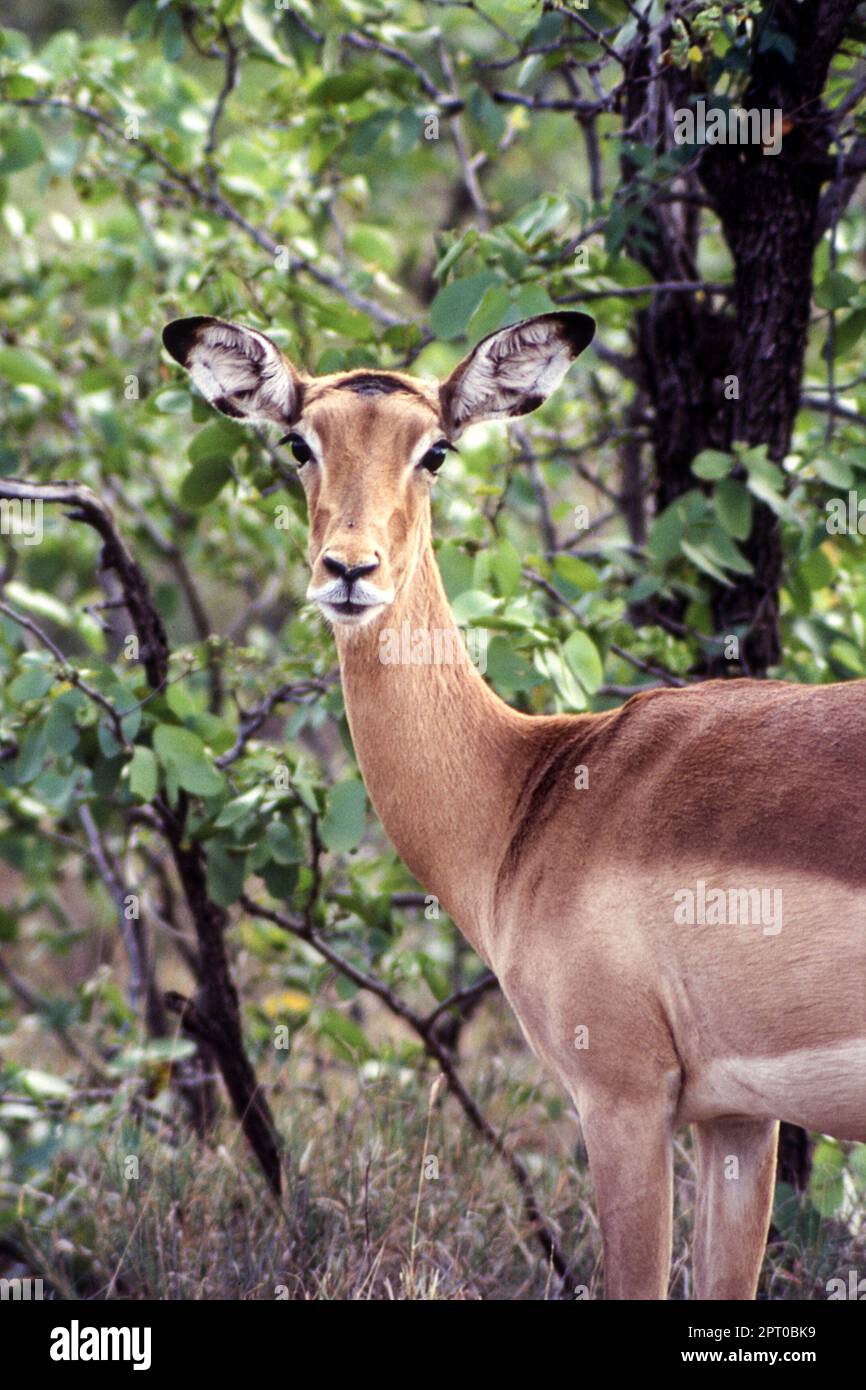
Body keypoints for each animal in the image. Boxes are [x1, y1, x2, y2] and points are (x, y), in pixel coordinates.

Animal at [163, 311, 866, 1300]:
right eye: (300, 442)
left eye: (436, 450)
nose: (350, 570)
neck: (533, 790)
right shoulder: (737, 1120)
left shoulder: (621, 1097)